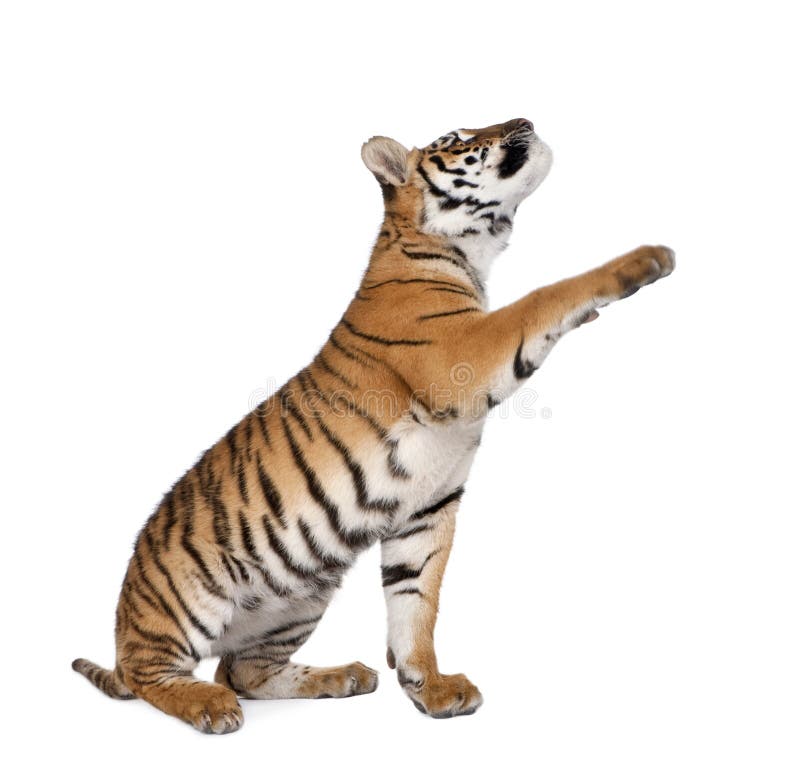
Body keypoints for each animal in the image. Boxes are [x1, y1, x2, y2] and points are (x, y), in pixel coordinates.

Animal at [73, 117, 675, 733]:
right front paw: (641, 261)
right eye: (460, 137)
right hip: (192, 597)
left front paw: (428, 687)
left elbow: (417, 606)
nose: (526, 122)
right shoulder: (461, 355)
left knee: (244, 671)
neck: (466, 252)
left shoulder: (426, 508)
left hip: (299, 600)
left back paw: (342, 677)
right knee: (154, 676)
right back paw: (208, 706)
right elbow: (542, 298)